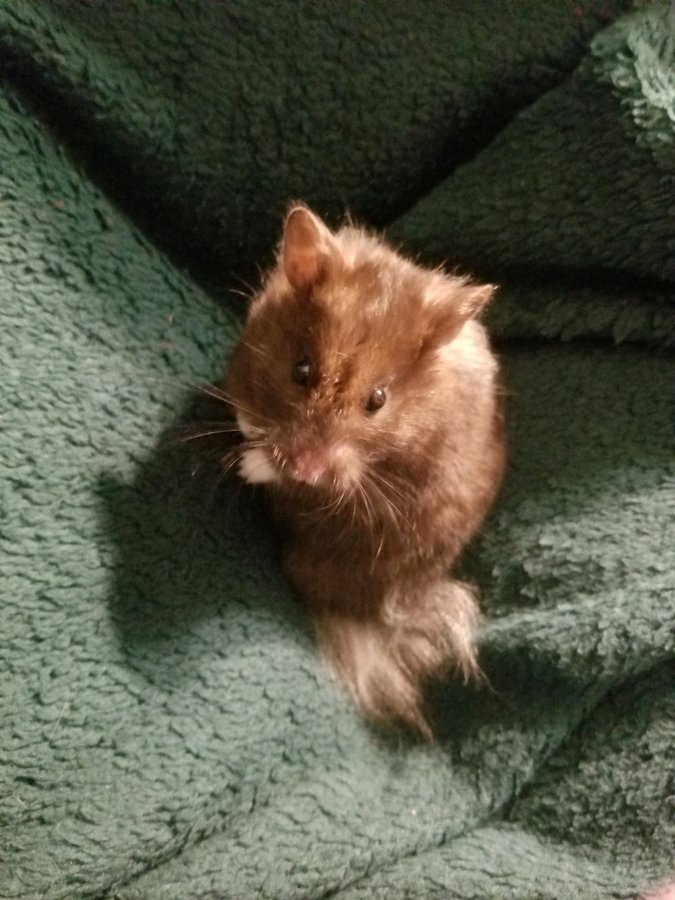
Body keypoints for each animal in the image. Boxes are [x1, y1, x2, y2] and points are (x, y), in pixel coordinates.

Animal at [221, 205, 506, 736]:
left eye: (378, 400)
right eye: (302, 371)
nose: (309, 467)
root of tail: (370, 610)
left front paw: (251, 466)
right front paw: (253, 437)